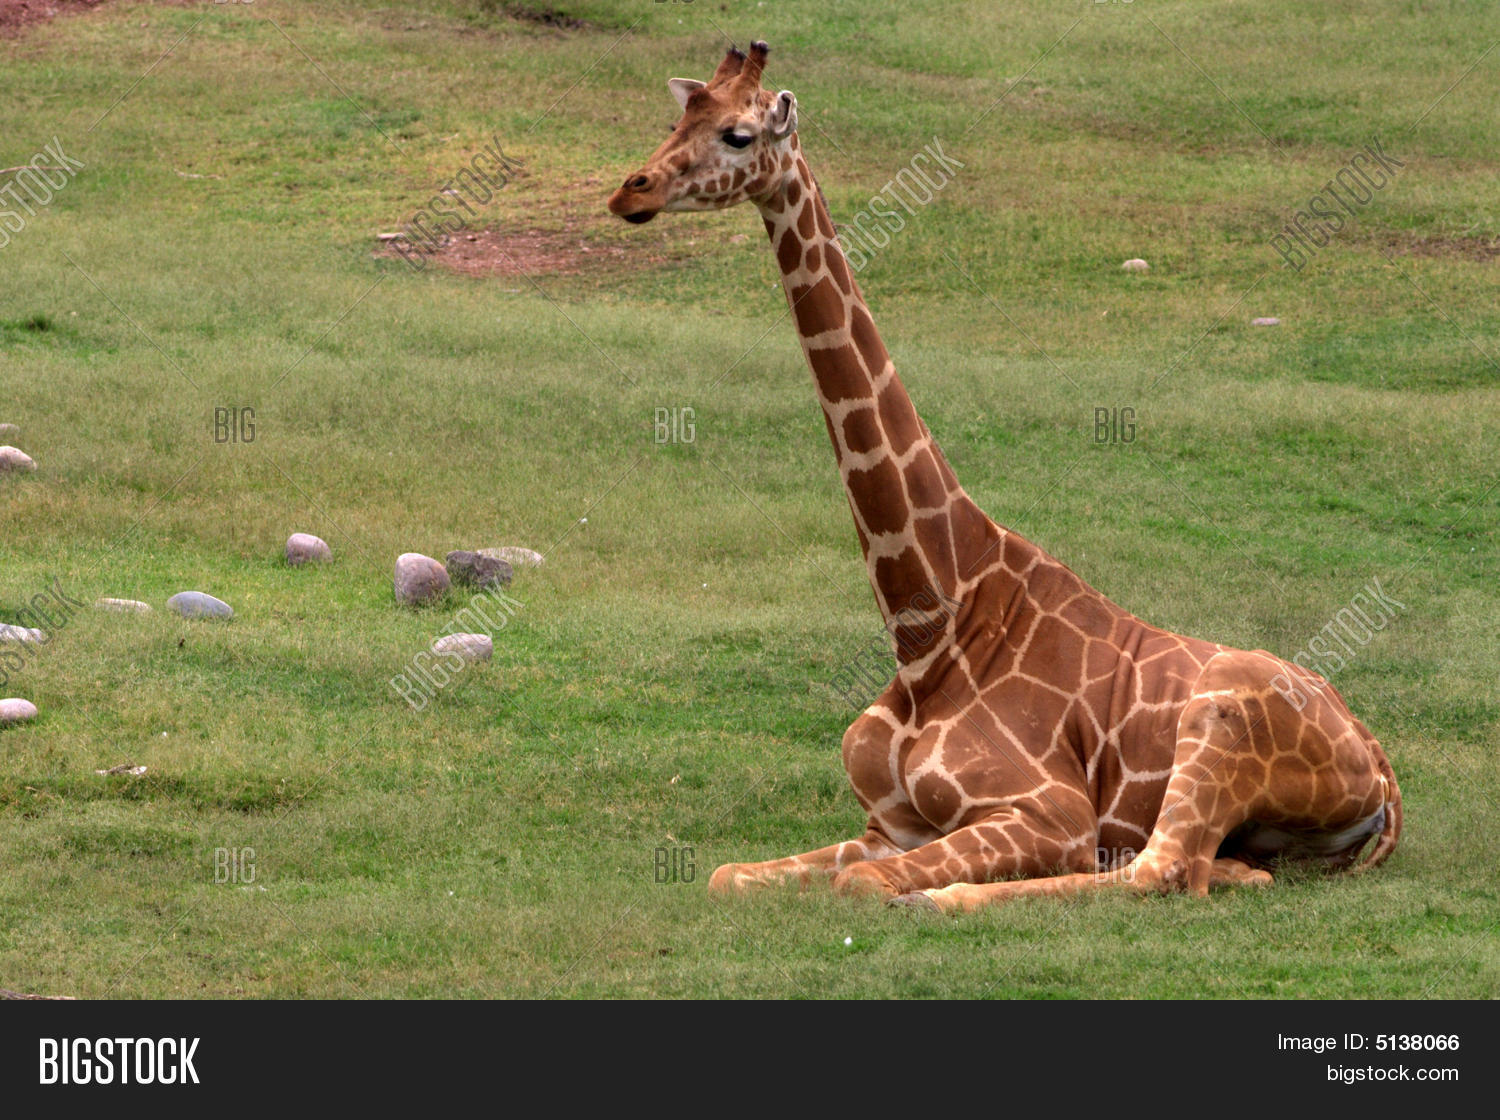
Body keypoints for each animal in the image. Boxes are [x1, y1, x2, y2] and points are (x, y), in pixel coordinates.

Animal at [606, 41, 1402, 912]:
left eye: (739, 134)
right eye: (677, 119)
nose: (630, 190)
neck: (928, 630)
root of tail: (1381, 767)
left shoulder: (1048, 810)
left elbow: (864, 884)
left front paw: (919, 893)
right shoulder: (889, 824)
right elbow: (730, 875)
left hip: (1221, 712)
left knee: (1157, 869)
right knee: (1201, 866)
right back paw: (1233, 865)